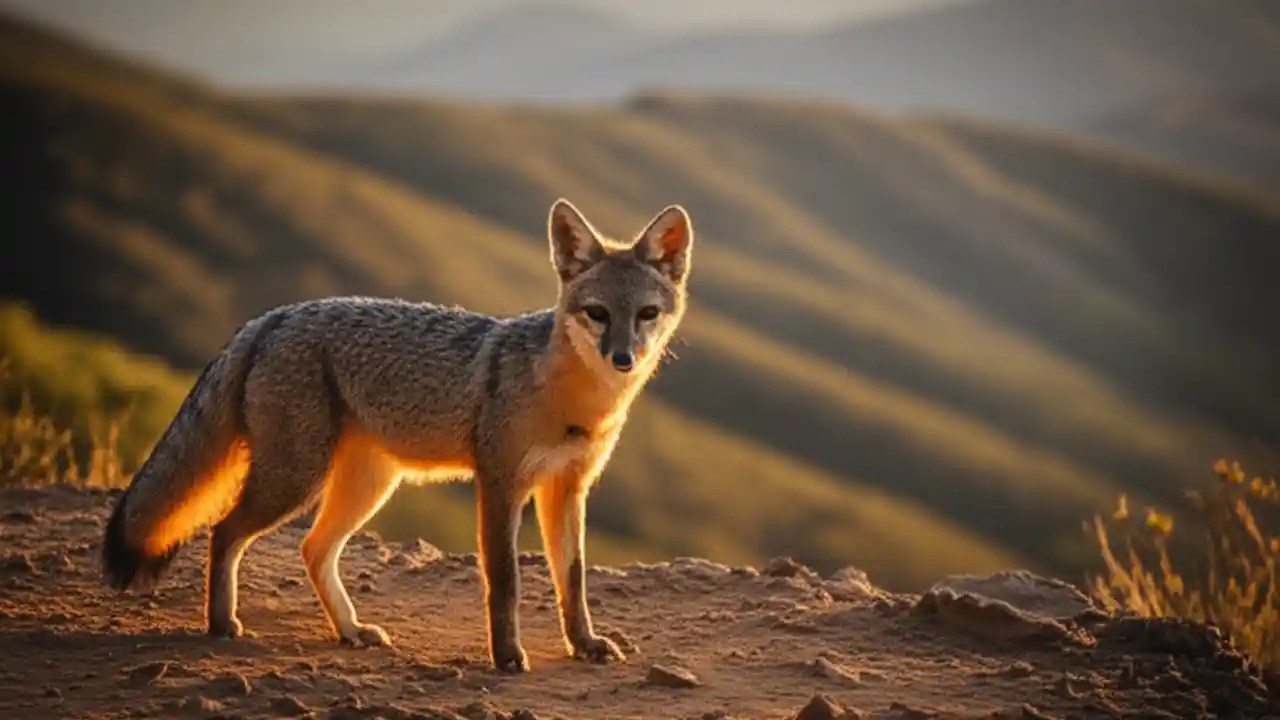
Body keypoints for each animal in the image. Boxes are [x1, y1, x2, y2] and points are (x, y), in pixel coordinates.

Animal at [101, 199, 693, 672]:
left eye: (646, 314)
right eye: (597, 314)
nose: (623, 359)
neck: (573, 403)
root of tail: (274, 315)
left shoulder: (567, 488)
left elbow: (573, 580)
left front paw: (584, 643)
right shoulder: (501, 484)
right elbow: (506, 583)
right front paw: (507, 657)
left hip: (366, 485)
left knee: (313, 549)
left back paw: (349, 630)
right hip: (297, 479)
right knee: (224, 532)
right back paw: (222, 624)